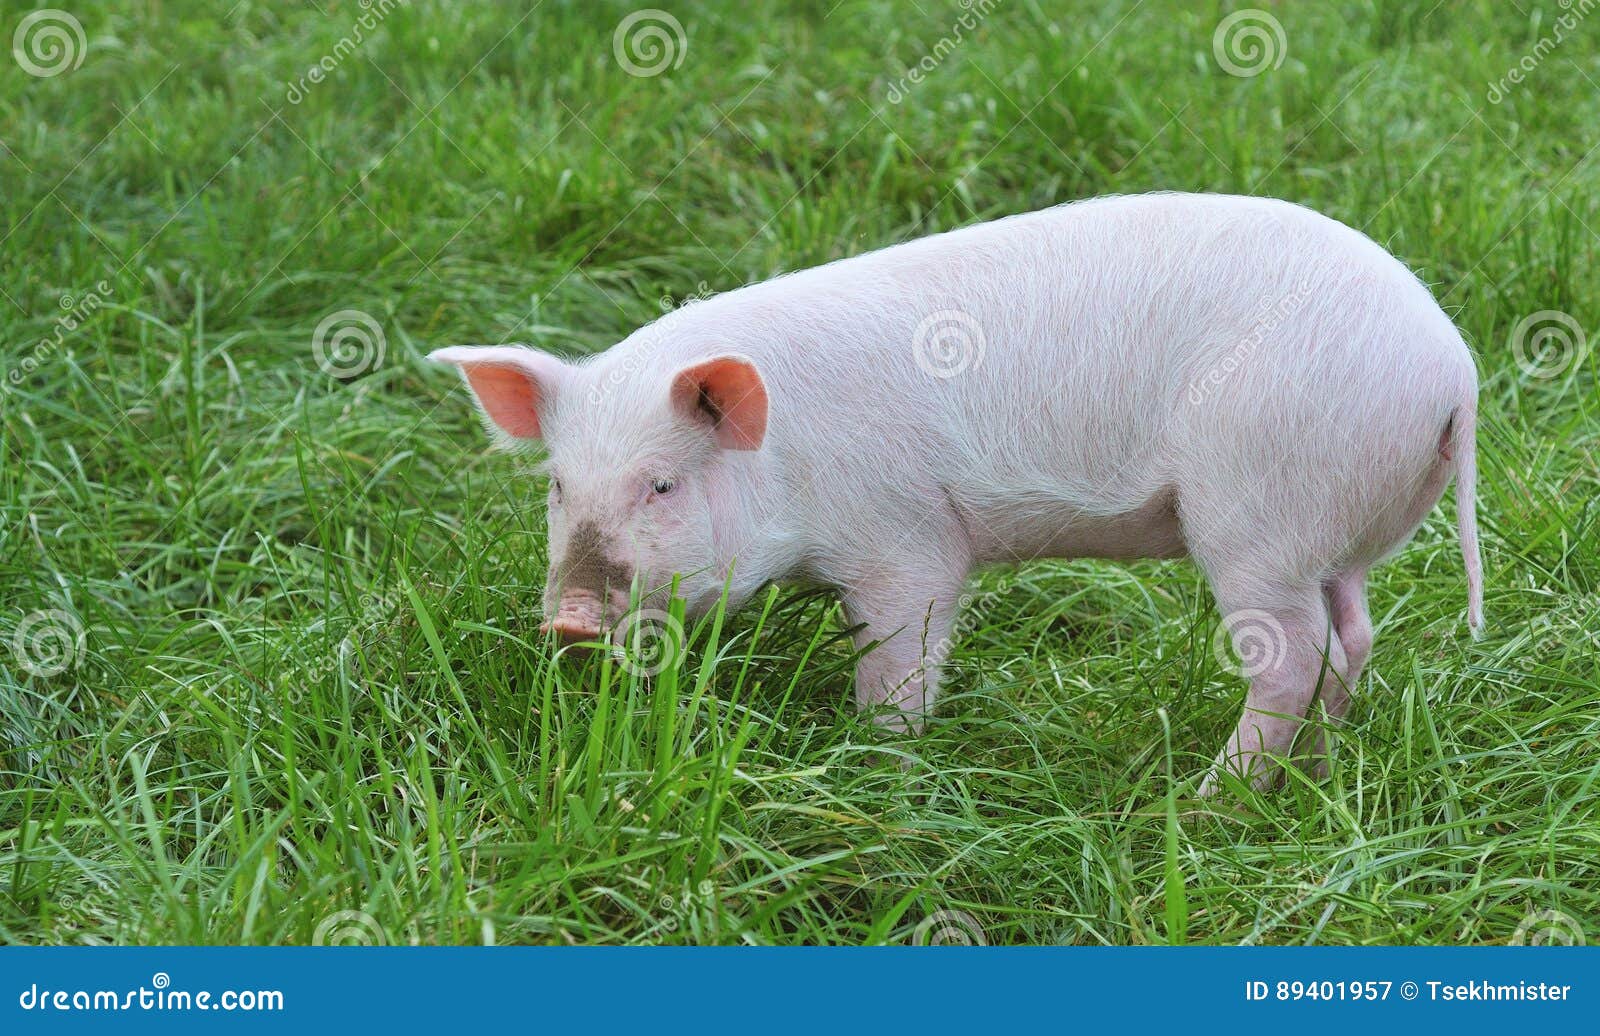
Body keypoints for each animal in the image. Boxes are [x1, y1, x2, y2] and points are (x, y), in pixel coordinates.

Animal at [430, 192, 1482, 793]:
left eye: (661, 484)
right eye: (558, 486)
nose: (567, 616)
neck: (788, 459)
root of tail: (1453, 368)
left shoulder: (907, 536)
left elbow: (902, 658)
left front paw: (879, 766)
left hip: (1256, 508)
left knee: (1291, 654)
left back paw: (1204, 802)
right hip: (1326, 530)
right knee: (1352, 634)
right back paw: (1316, 771)